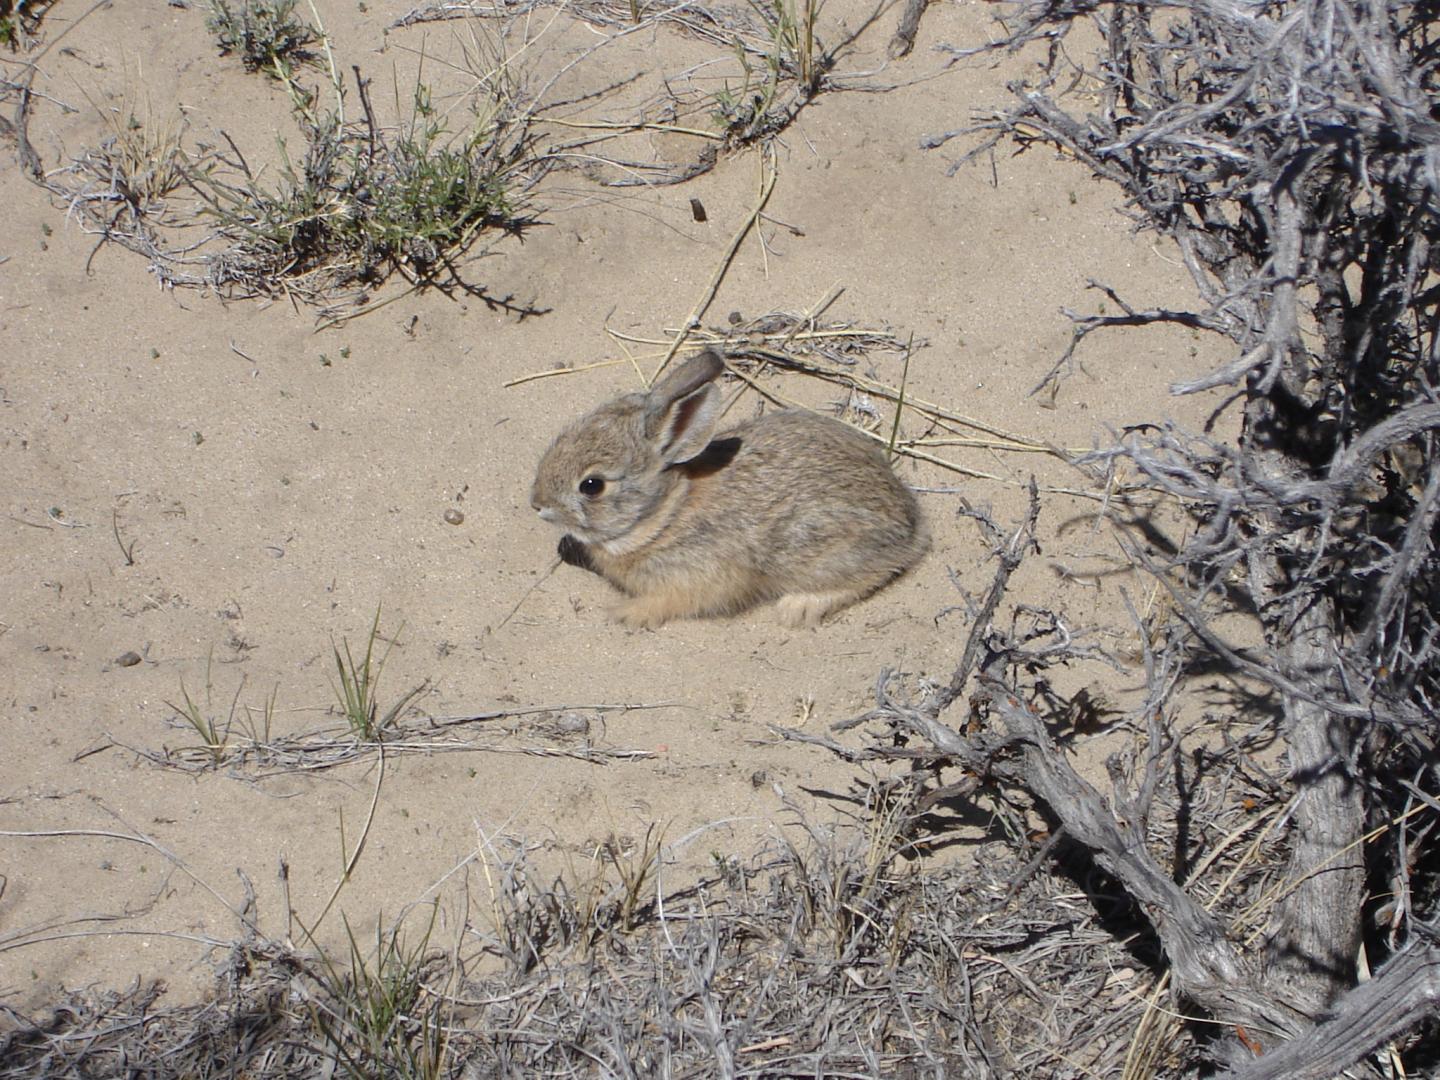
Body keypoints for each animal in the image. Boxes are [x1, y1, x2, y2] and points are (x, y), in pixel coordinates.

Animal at [530, 348, 928, 628]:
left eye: (591, 485)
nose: (537, 503)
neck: (664, 516)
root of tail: (912, 525)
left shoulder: (693, 578)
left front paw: (625, 614)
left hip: (820, 548)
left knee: (876, 571)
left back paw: (797, 608)